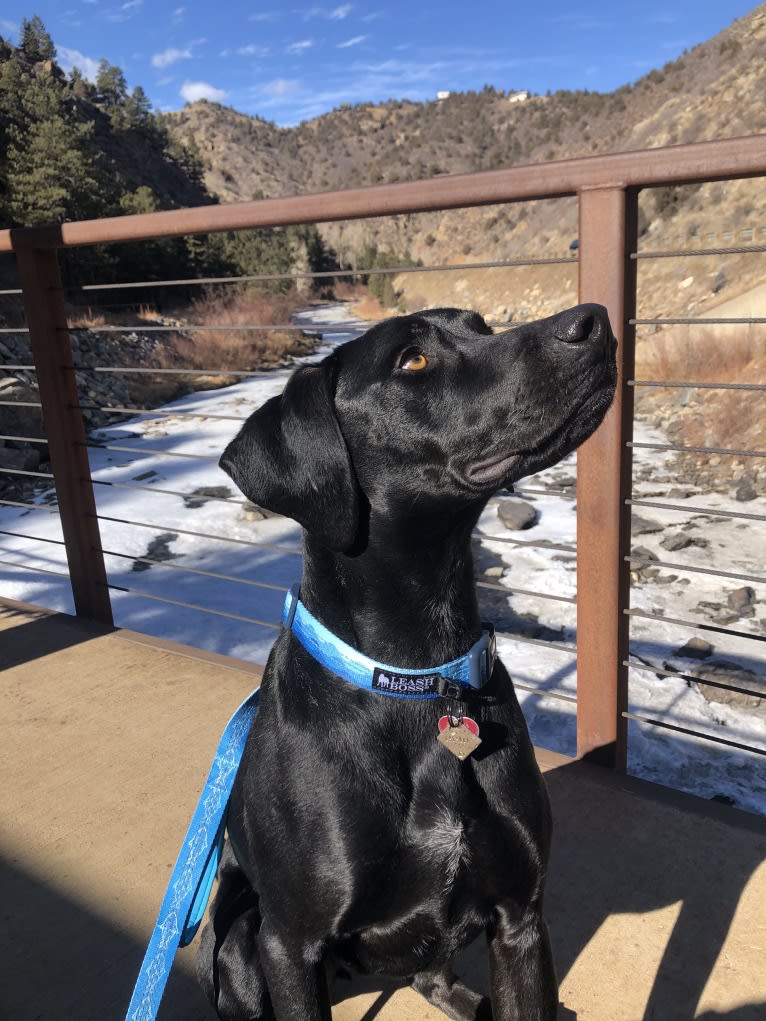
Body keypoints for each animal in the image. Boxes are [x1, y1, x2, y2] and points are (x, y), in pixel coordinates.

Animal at [199, 302, 616, 1021]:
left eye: (481, 326)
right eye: (412, 360)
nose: (594, 319)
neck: (423, 676)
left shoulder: (521, 918)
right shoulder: (291, 943)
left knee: (433, 977)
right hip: (243, 936)